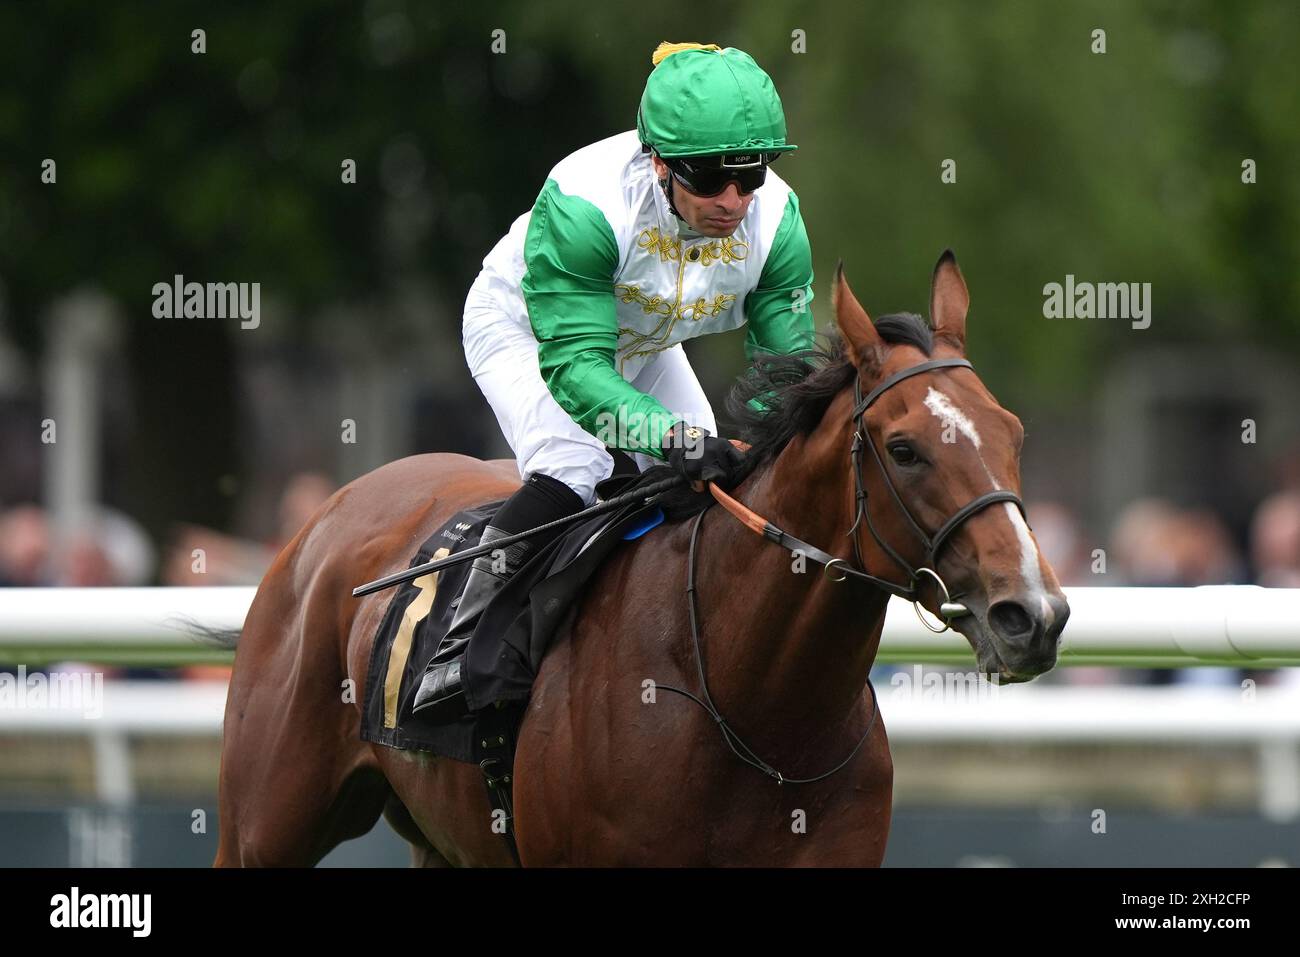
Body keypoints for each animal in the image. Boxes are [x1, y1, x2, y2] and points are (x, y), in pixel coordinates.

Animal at [214, 251, 1070, 866]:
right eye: (905, 449)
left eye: (1016, 432)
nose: (1034, 614)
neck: (754, 714)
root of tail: (318, 525)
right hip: (262, 828)